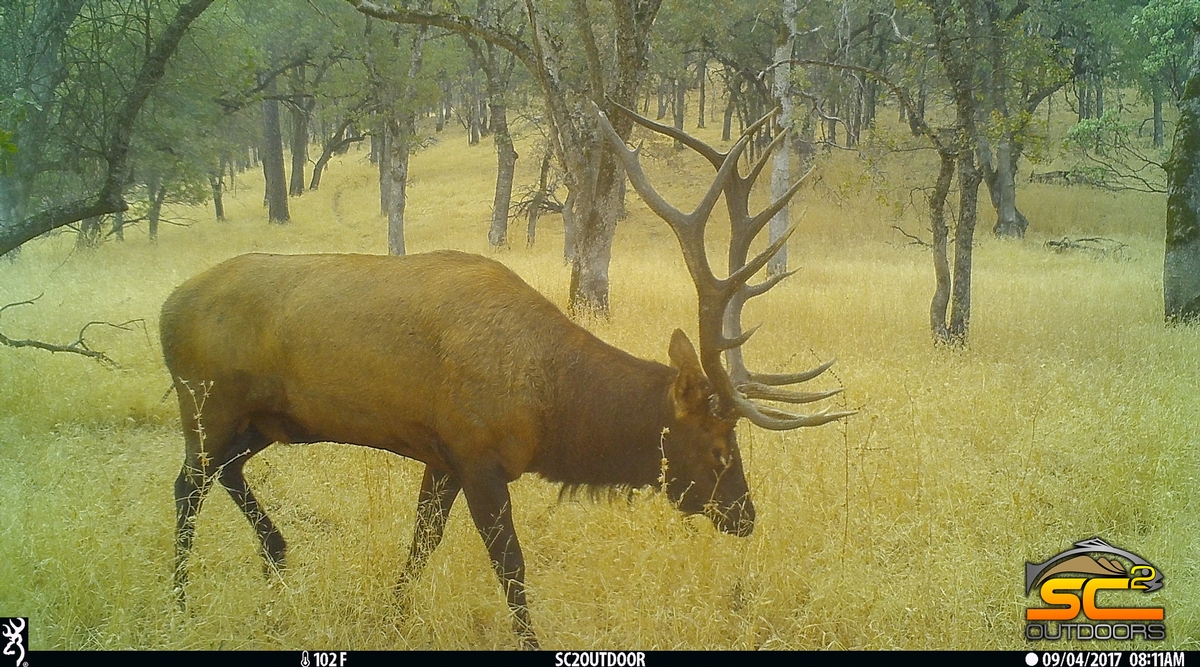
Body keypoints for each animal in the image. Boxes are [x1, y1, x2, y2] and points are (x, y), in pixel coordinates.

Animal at [161, 105, 851, 650]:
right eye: (718, 447)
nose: (746, 516)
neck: (552, 411)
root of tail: (169, 306)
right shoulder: (478, 456)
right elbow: (512, 568)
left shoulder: (440, 457)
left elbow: (420, 545)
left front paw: (391, 618)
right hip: (205, 404)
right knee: (186, 485)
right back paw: (180, 603)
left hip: (263, 421)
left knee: (226, 473)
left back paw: (278, 555)